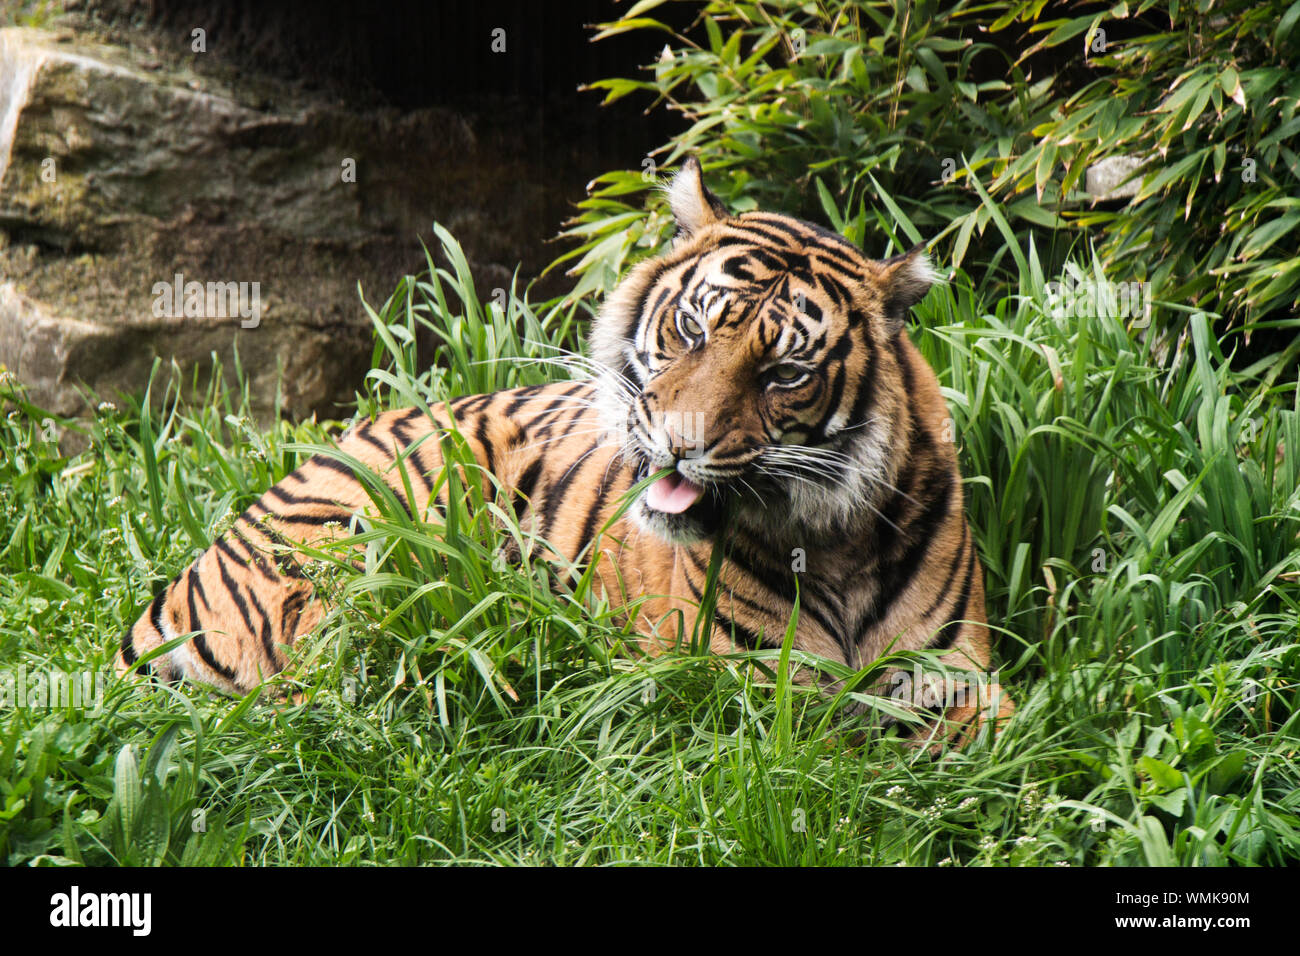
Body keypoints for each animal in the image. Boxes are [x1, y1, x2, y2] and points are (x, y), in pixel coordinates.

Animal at [117, 158, 1012, 742]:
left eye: (785, 373)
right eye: (692, 329)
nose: (680, 448)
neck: (834, 543)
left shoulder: (961, 678)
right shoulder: (742, 681)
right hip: (364, 547)